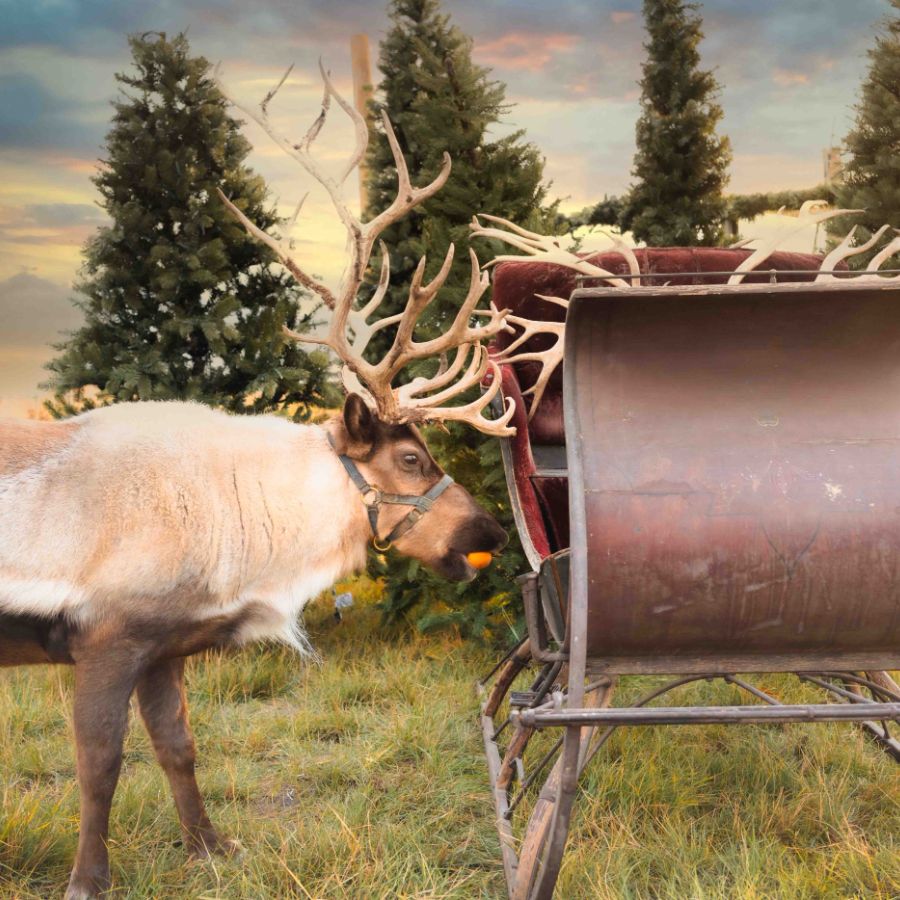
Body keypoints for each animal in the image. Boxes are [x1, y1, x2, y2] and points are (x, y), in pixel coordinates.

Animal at [0, 62, 516, 900]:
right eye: (412, 459)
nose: (492, 531)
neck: (243, 533)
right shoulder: (107, 637)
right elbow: (100, 765)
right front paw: (88, 879)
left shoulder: (162, 644)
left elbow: (179, 747)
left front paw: (211, 848)